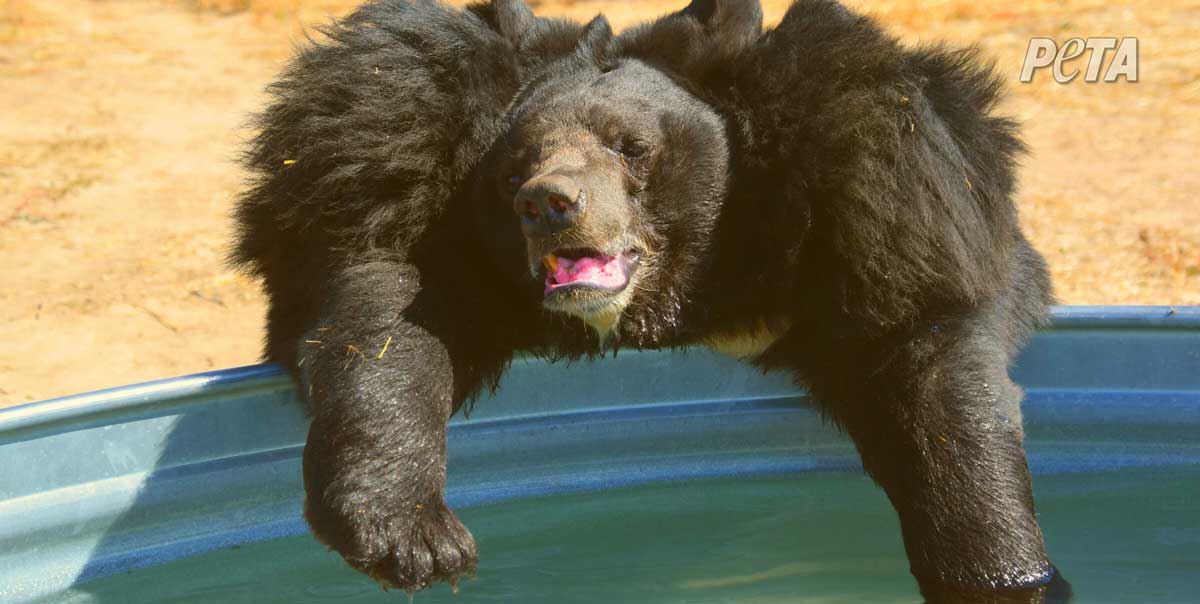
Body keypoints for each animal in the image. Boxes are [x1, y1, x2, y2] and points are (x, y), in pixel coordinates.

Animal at [232, 0, 1072, 601]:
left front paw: (1005, 571)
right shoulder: (390, 140)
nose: (549, 204)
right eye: (517, 165)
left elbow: (924, 345)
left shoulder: (881, 177)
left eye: (631, 148)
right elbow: (386, 315)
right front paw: (411, 536)